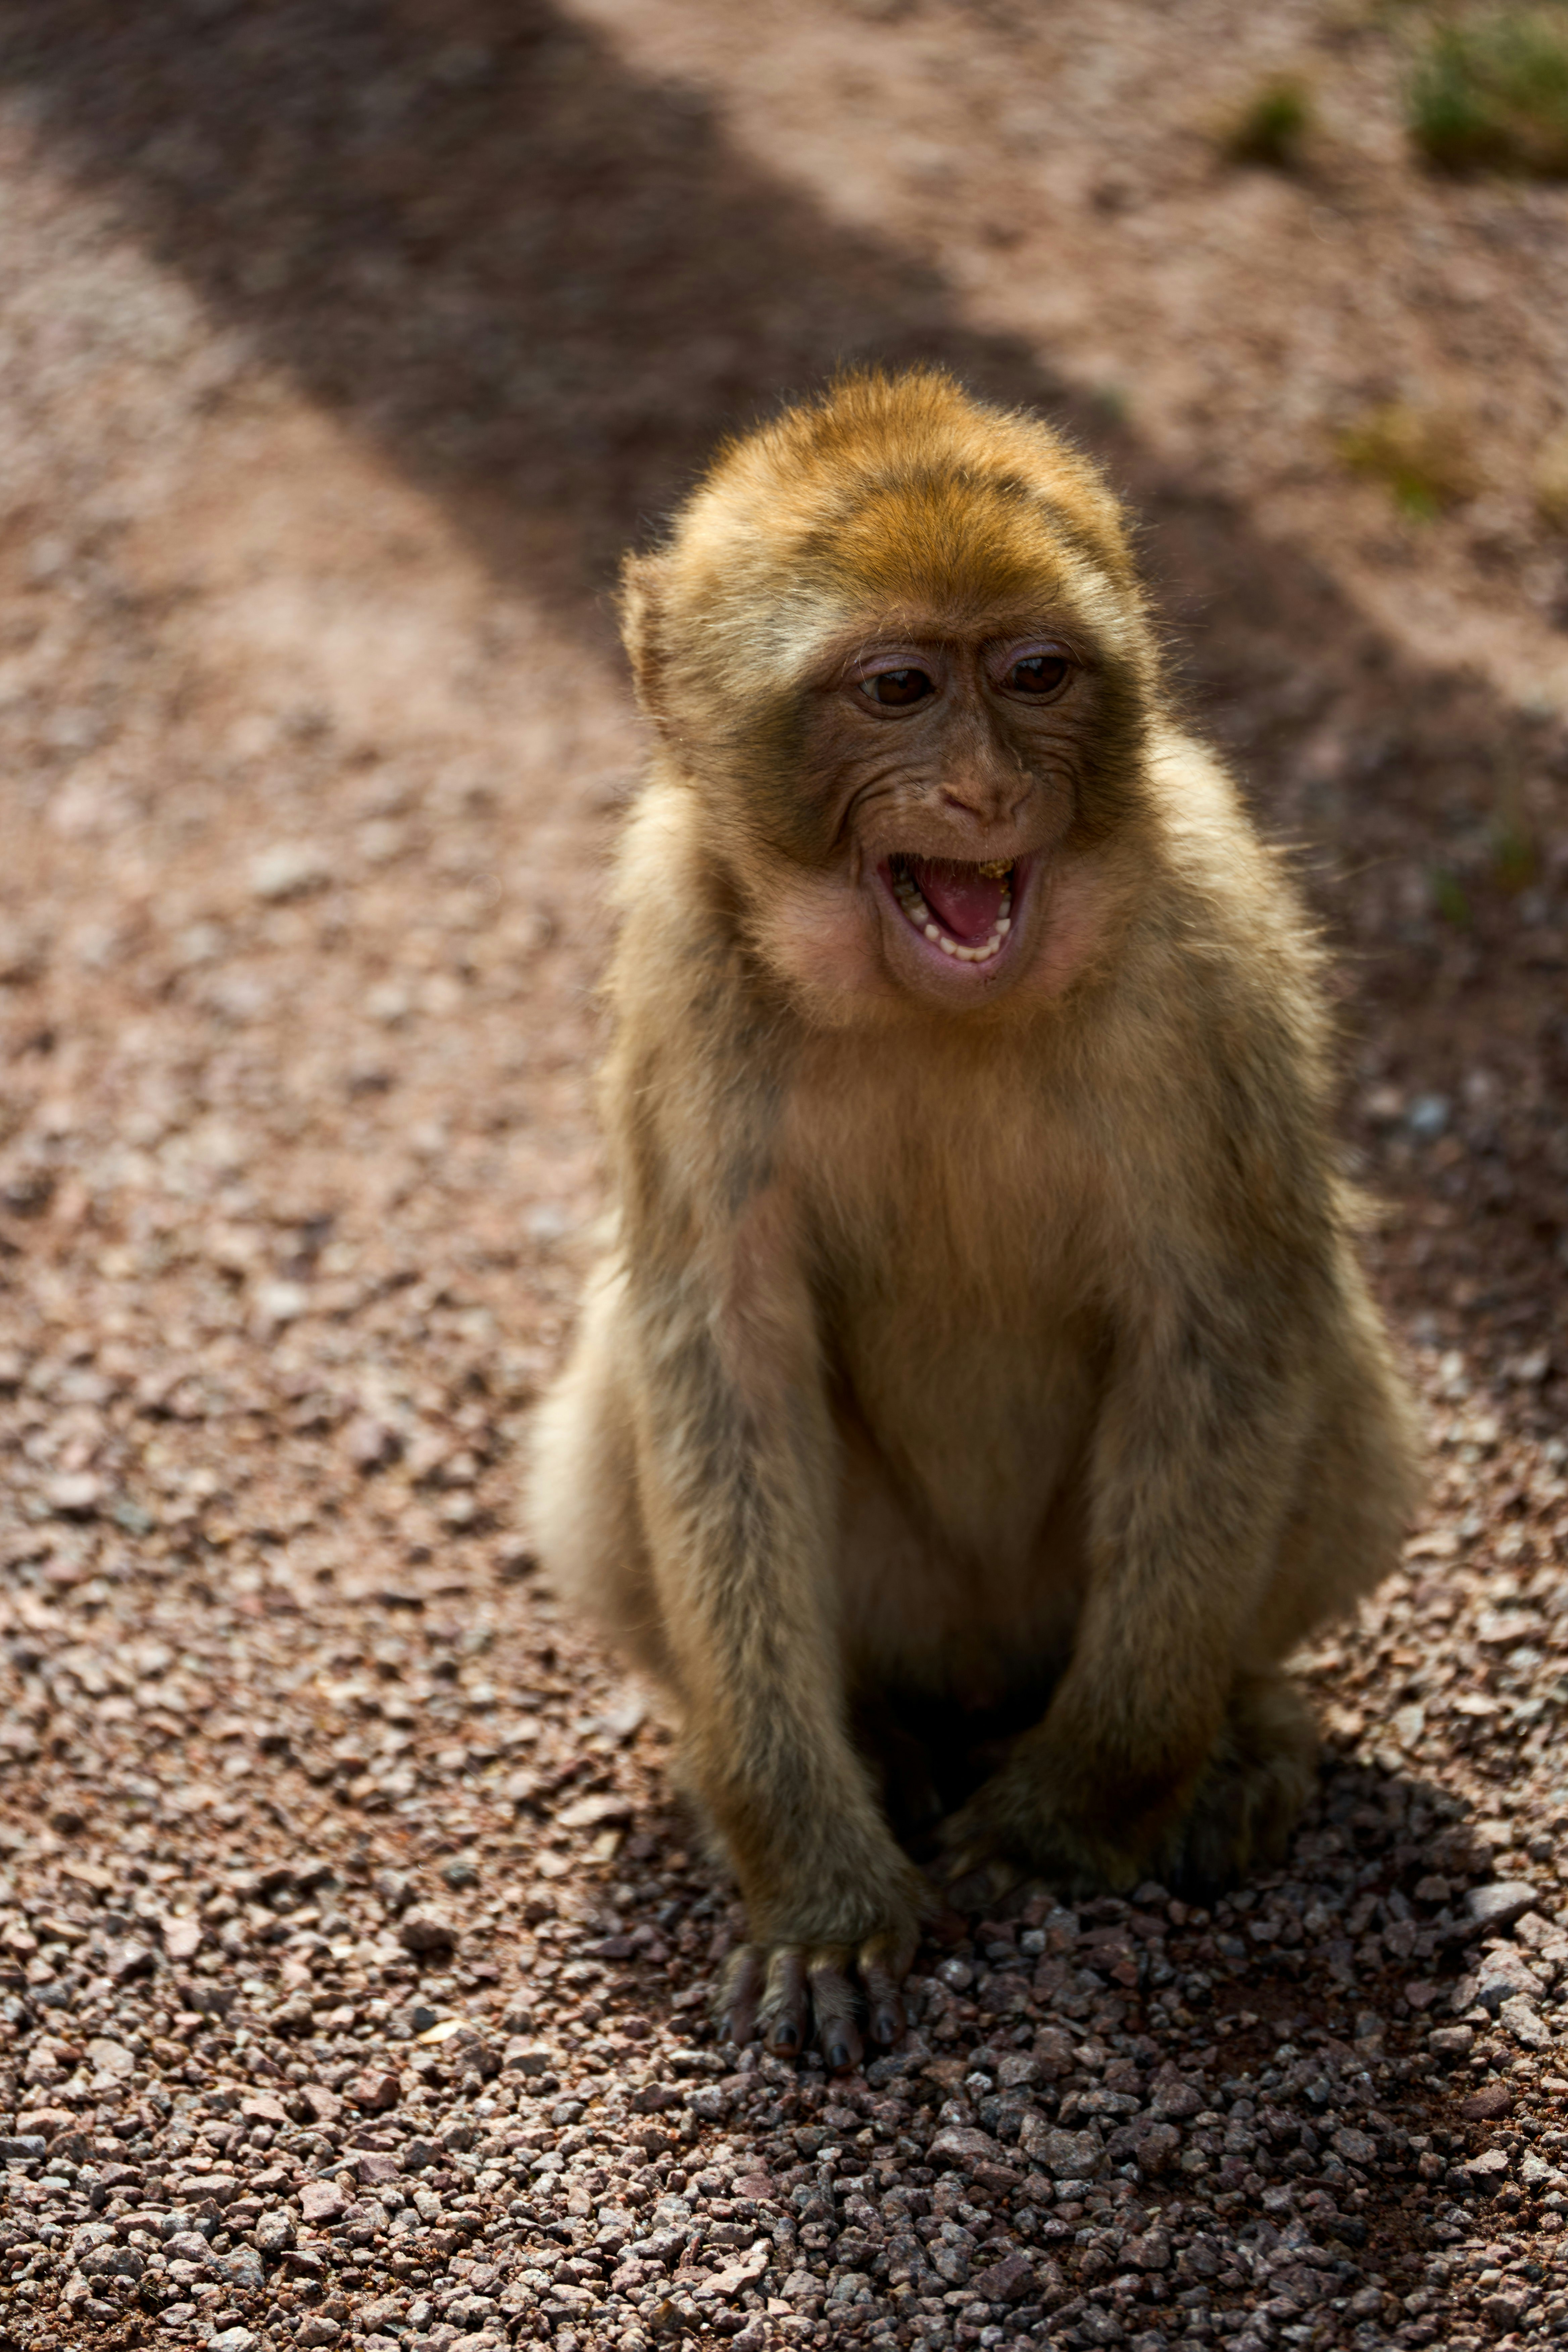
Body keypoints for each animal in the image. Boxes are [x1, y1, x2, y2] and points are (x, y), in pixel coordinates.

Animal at [528, 369, 1420, 2071]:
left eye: (1030, 673)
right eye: (894, 688)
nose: (987, 793)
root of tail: (987, 1664)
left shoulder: (1207, 925)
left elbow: (1230, 1317)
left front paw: (1070, 1823)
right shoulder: (680, 948)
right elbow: (720, 1359)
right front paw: (814, 1887)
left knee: (1310, 1337)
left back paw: (1227, 1730)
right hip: (905, 1599)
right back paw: (877, 1736)